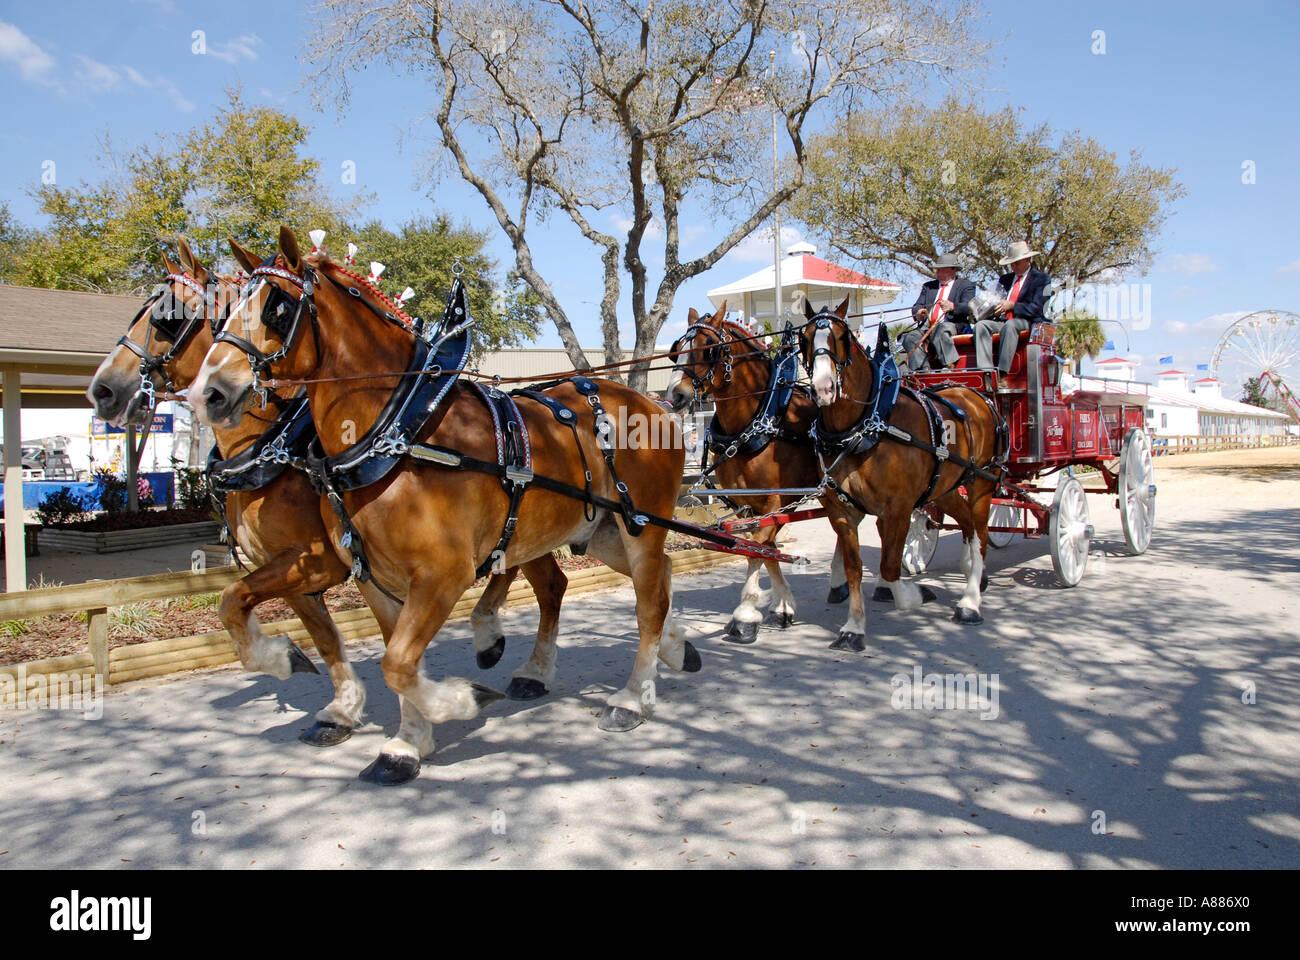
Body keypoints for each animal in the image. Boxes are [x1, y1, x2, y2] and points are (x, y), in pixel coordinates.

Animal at [85, 237, 562, 751]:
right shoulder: (292, 566)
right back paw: (496, 639)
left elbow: (239, 601)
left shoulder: (313, 560)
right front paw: (337, 703)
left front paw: (310, 679)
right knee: (533, 575)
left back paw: (511, 652)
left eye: (166, 318)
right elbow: (310, 630)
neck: (278, 441)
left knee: (539, 580)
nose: (103, 390)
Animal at [188, 225, 698, 784]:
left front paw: (459, 701)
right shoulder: (371, 578)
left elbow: (396, 663)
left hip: (639, 524)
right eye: (224, 310)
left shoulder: (437, 573)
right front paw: (407, 743)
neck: (397, 433)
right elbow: (393, 658)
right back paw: (667, 649)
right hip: (599, 530)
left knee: (648, 602)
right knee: (654, 577)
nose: (207, 393)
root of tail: (655, 405)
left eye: (276, 308)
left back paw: (632, 697)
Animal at [665, 304, 853, 642]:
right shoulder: (746, 503)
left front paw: (745, 616)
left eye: (709, 349)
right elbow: (763, 548)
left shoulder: (776, 500)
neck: (758, 420)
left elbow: (757, 548)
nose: (676, 396)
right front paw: (782, 605)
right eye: (676, 350)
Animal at [797, 299, 1006, 650]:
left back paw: (970, 600)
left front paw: (914, 596)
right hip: (946, 488)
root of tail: (976, 395)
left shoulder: (897, 509)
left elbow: (891, 566)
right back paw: (971, 575)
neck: (863, 428)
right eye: (806, 338)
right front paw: (854, 627)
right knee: (965, 524)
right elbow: (854, 568)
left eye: (842, 336)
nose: (824, 388)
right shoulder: (841, 511)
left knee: (980, 534)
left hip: (981, 482)